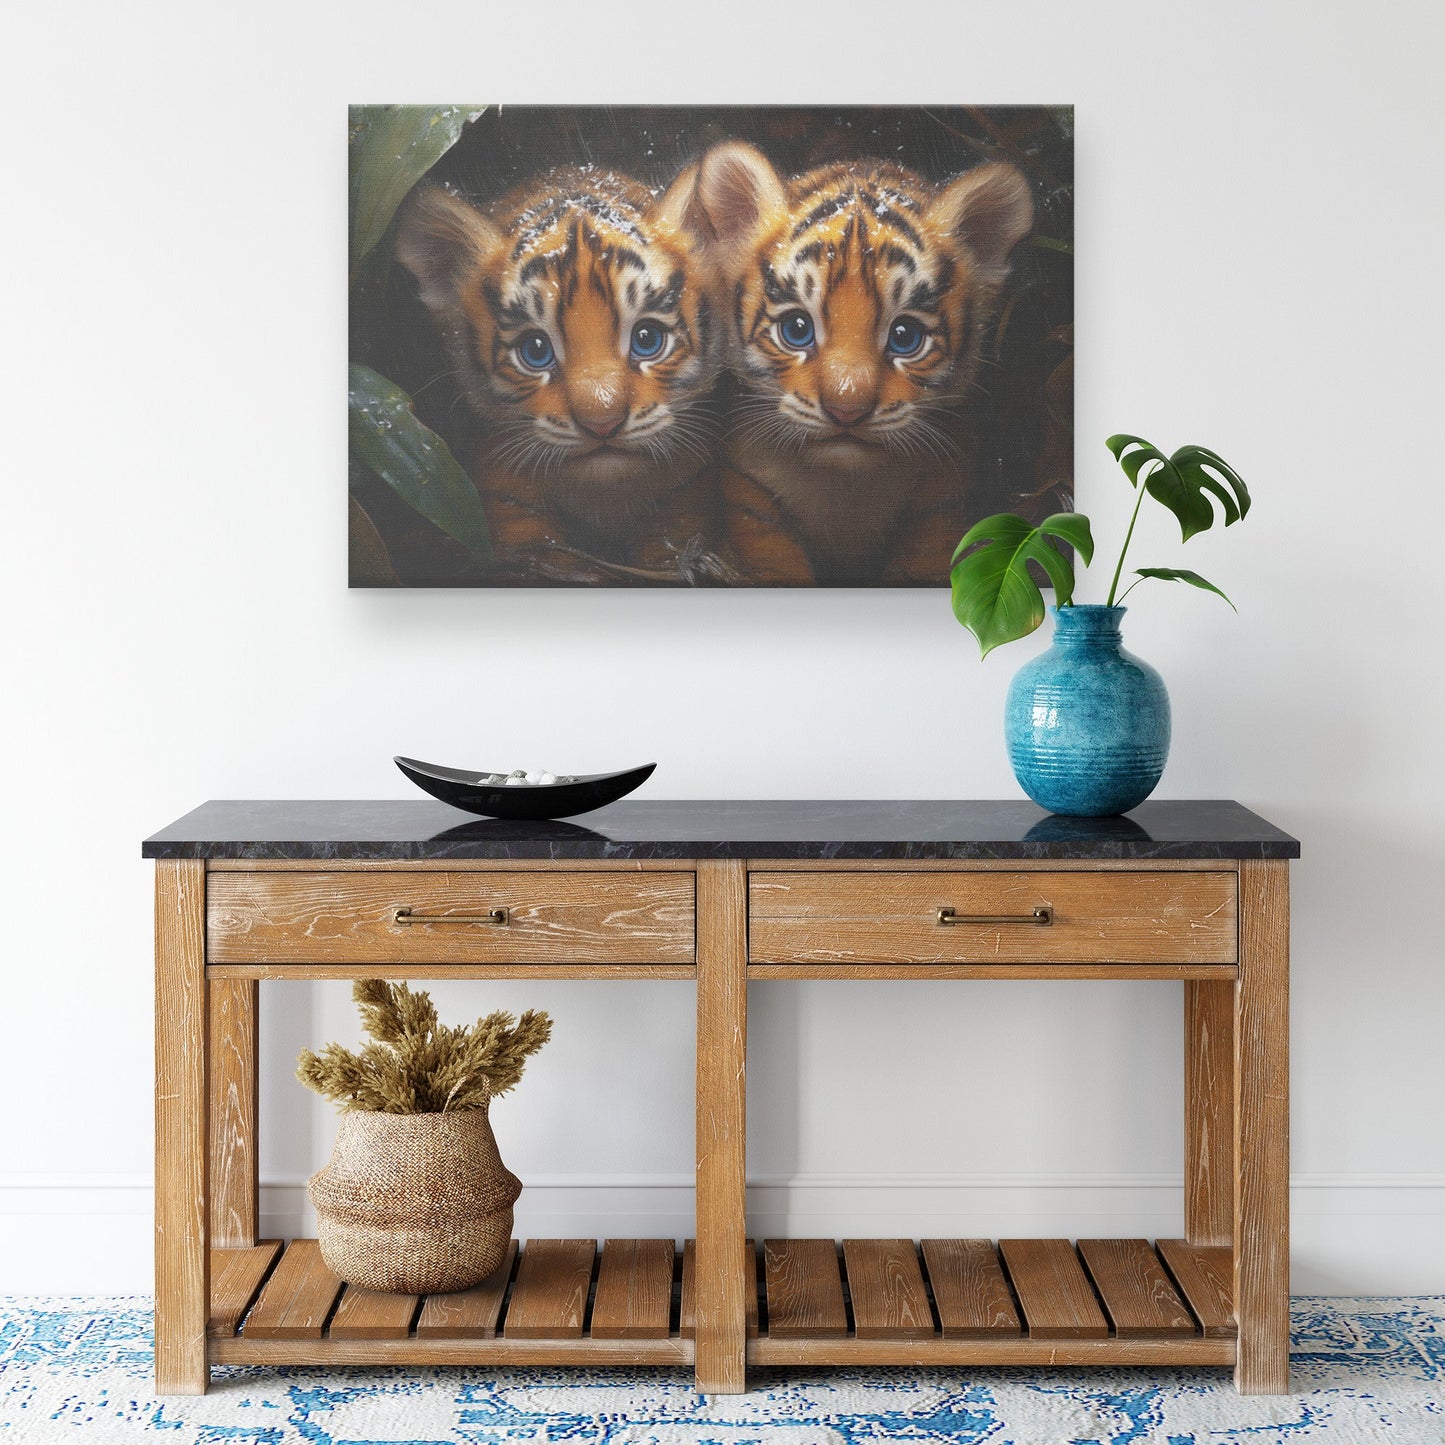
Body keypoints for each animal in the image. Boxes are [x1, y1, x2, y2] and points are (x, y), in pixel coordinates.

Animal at [678, 142, 1036, 584]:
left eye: (905, 336)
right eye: (796, 329)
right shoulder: (751, 496)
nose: (846, 410)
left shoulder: (940, 501)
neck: (846, 491)